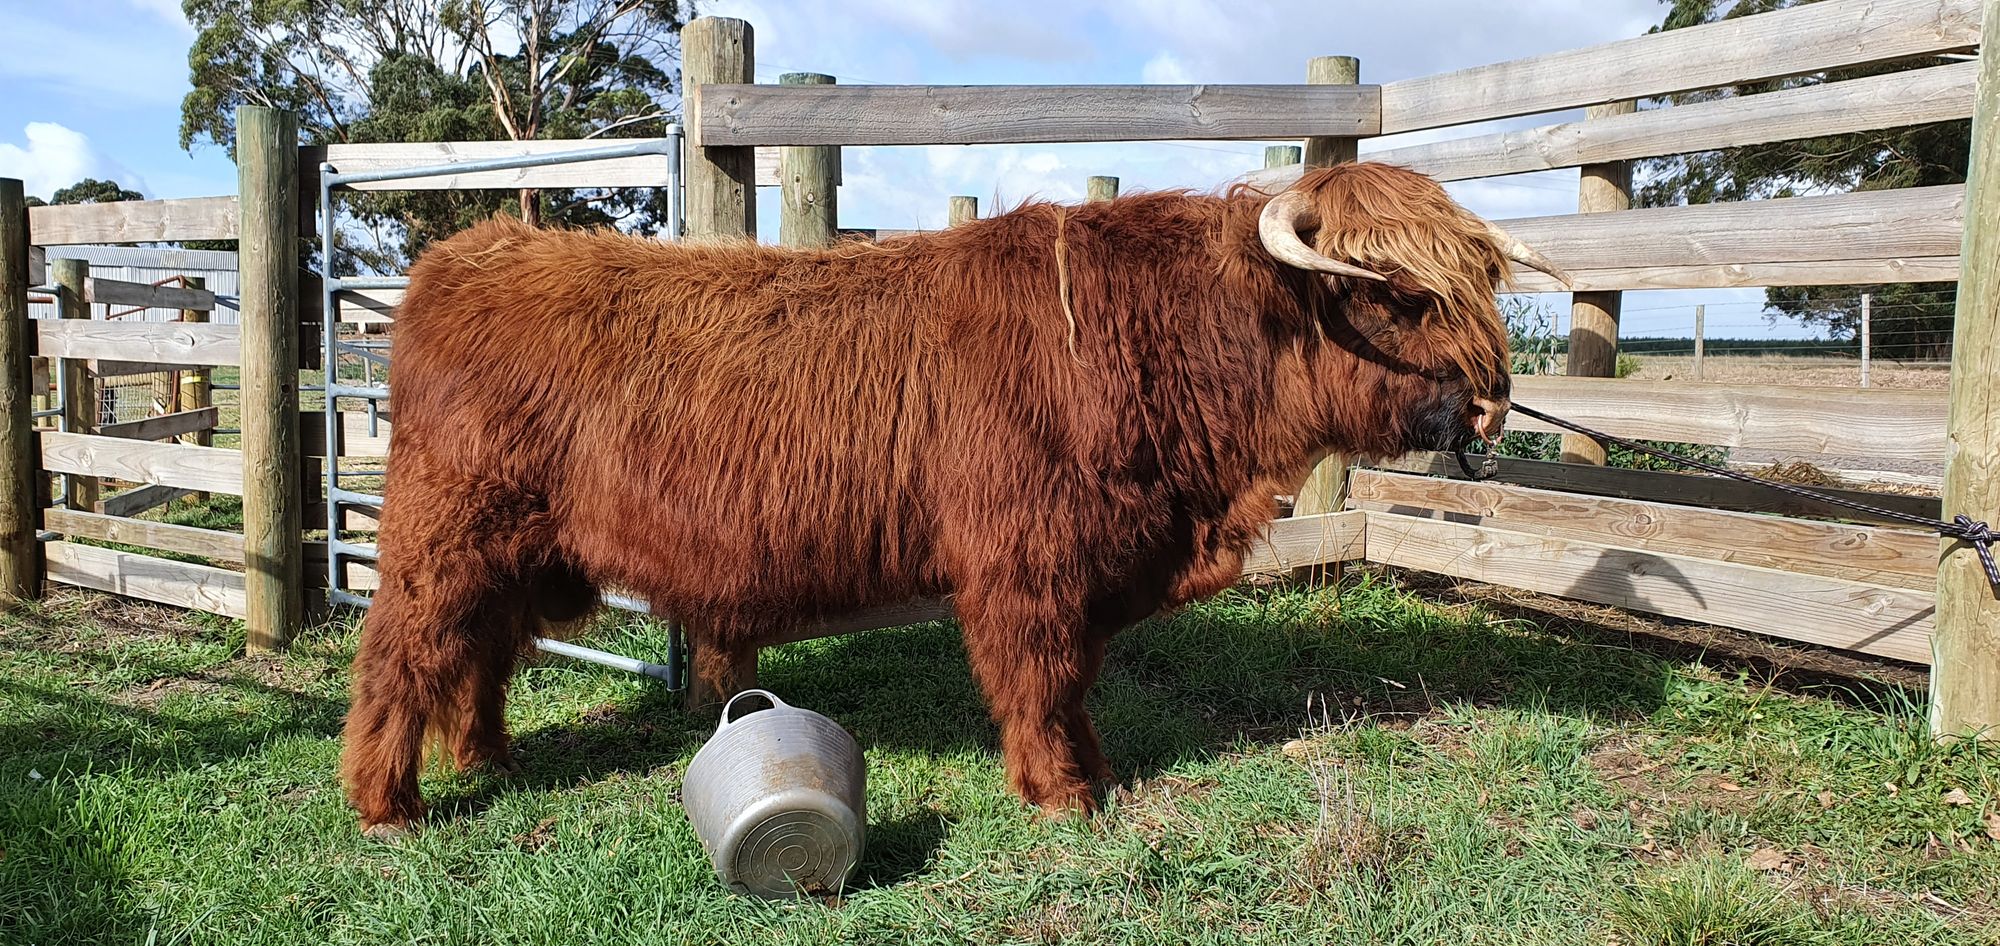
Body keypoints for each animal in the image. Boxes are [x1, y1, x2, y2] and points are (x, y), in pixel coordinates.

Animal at [338, 162, 1567, 837]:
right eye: (1397, 295)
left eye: (1473, 282)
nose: (1489, 405)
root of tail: (468, 253)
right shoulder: (1025, 560)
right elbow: (1036, 673)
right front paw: (1059, 793)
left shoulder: (1088, 564)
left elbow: (1073, 679)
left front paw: (1091, 768)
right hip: (447, 532)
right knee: (403, 649)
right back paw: (388, 803)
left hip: (519, 550)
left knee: (480, 654)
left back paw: (487, 761)